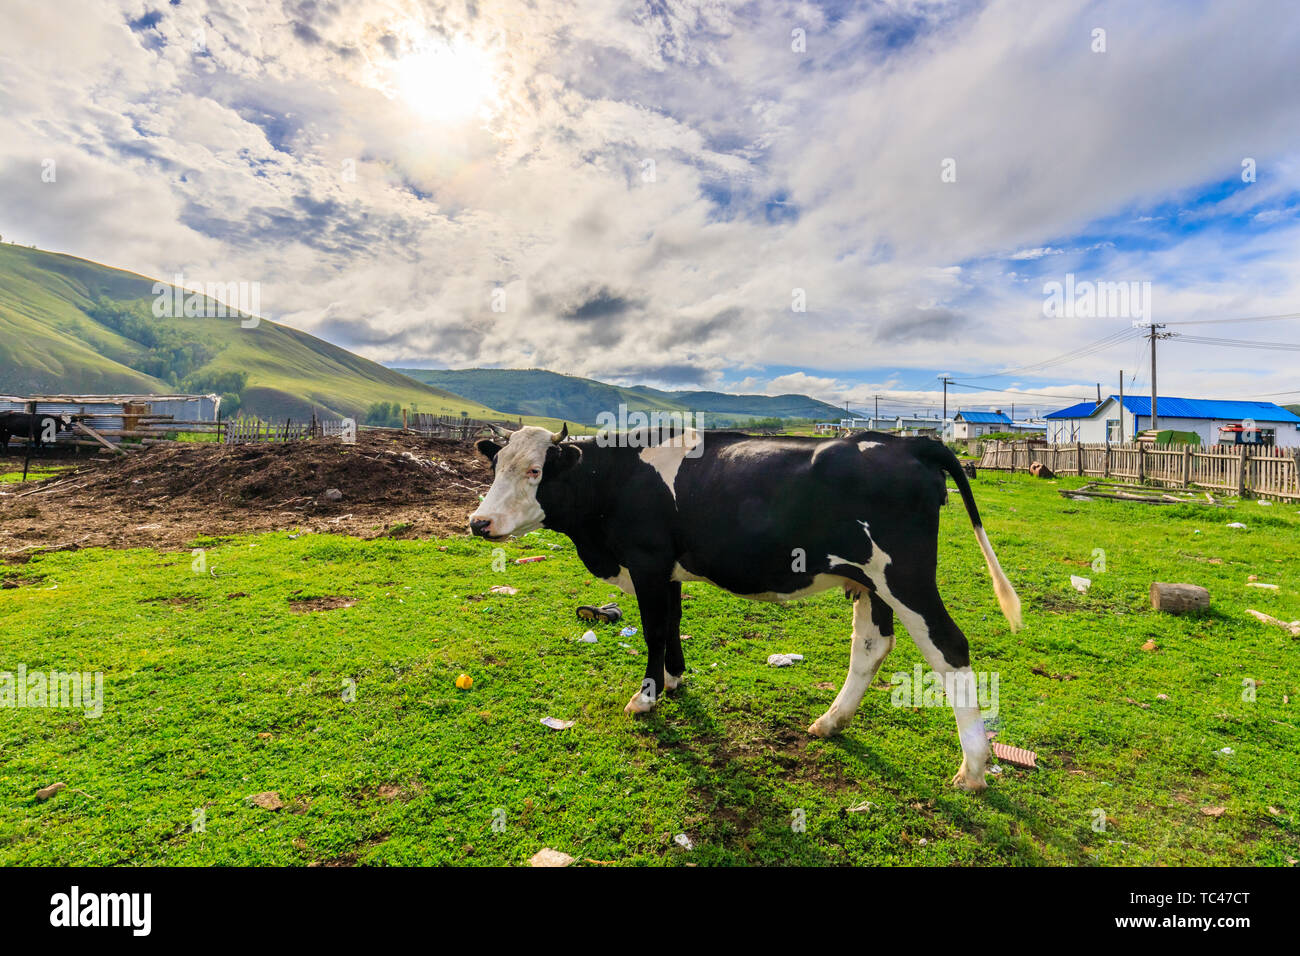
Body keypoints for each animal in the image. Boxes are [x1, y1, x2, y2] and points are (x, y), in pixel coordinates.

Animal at [469, 424, 1021, 791]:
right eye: (495, 467)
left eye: (535, 471)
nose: (479, 522)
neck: (613, 478)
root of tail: (906, 442)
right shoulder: (668, 570)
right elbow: (673, 623)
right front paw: (674, 680)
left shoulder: (646, 562)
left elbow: (653, 631)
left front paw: (646, 697)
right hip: (870, 581)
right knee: (870, 645)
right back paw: (831, 721)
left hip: (904, 576)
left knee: (949, 648)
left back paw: (973, 770)